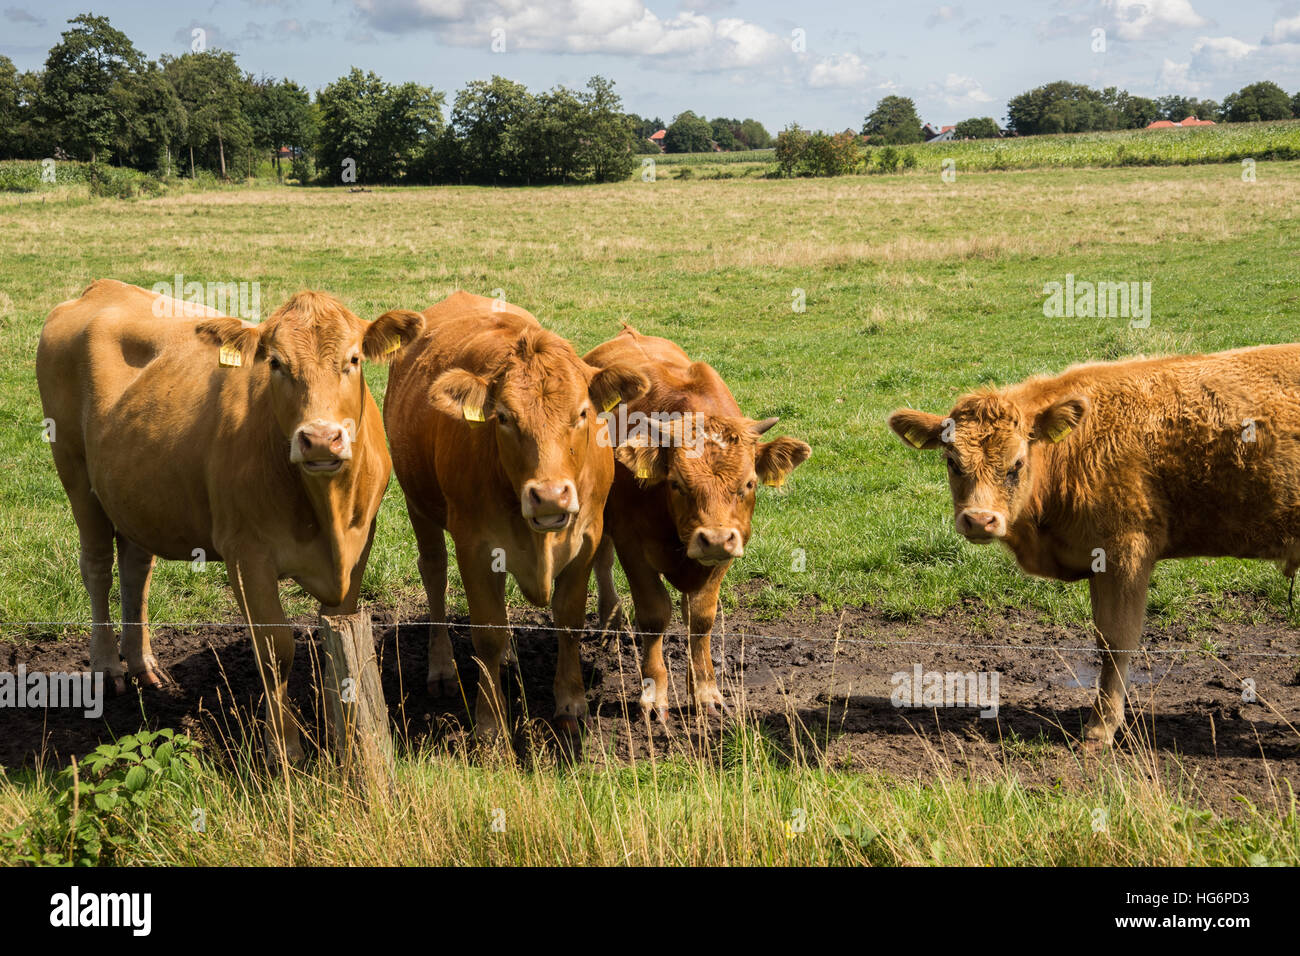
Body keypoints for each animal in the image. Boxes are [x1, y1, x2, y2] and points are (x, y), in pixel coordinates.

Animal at [36, 279, 422, 761]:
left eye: (353, 360)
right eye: (276, 363)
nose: (319, 439)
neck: (327, 509)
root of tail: (100, 289)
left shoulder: (358, 549)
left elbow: (337, 642)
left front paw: (346, 738)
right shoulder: (245, 555)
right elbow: (275, 649)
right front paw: (285, 750)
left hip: (133, 489)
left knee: (135, 569)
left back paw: (144, 665)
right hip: (73, 470)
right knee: (97, 568)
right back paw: (109, 667)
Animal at [383, 292, 649, 742]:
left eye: (582, 413)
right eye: (504, 417)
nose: (550, 496)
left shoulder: (586, 539)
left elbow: (568, 619)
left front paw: (571, 703)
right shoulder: (473, 546)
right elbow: (486, 633)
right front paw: (490, 721)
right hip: (417, 504)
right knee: (434, 573)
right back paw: (441, 668)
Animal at [585, 325, 811, 723]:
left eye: (749, 483)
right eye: (676, 483)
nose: (714, 539)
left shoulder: (728, 551)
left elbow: (701, 619)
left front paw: (706, 692)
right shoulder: (632, 545)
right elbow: (654, 614)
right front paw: (653, 693)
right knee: (601, 558)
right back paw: (610, 619)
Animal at [888, 344, 1300, 748]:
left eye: (1016, 463)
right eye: (952, 462)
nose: (979, 519)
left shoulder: (1125, 552)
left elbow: (1117, 640)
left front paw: (1101, 728)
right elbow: (1103, 639)